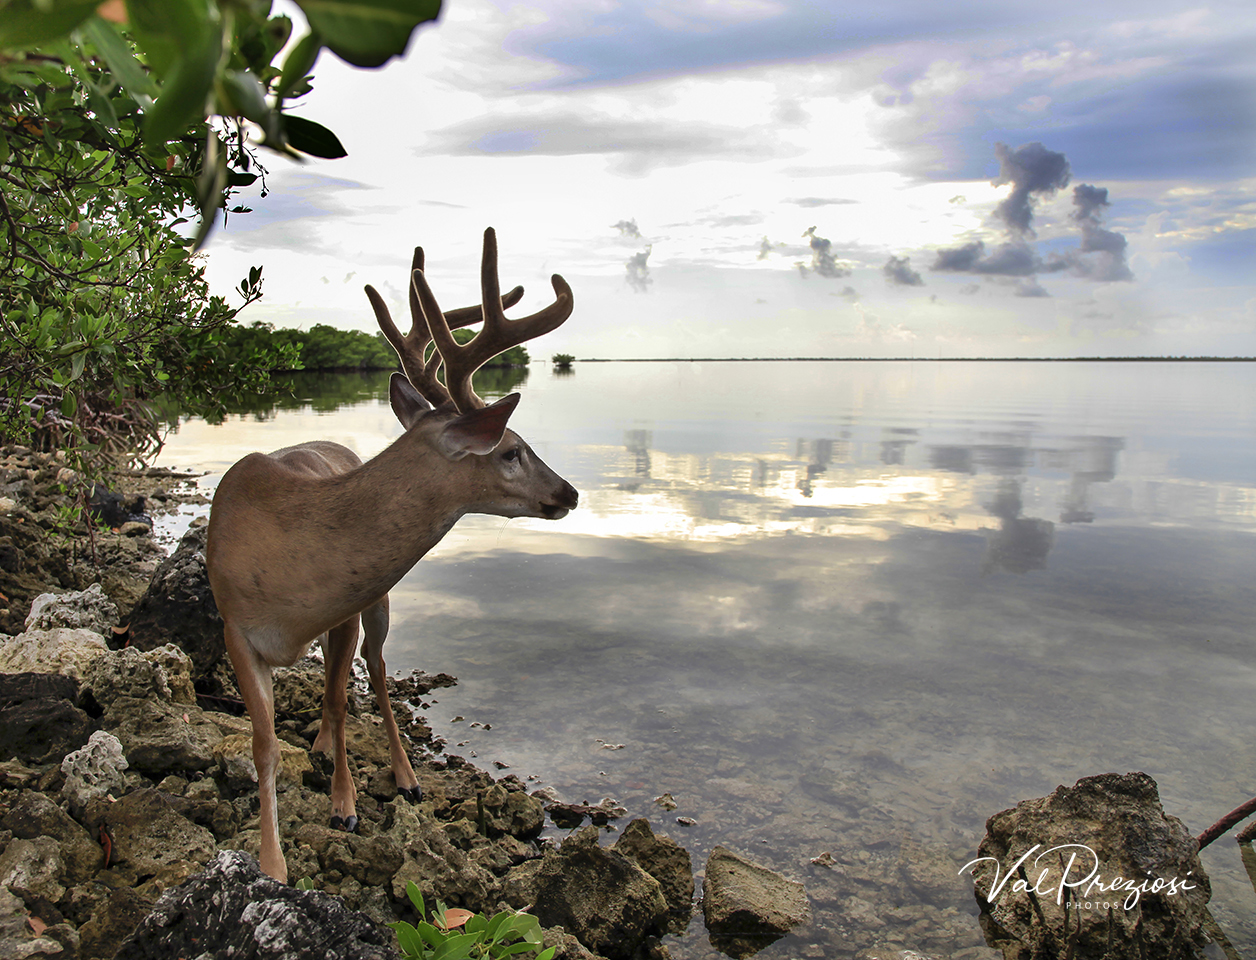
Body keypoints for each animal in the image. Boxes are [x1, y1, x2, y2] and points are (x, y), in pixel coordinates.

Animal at [205, 228, 578, 883]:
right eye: (512, 450)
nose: (569, 492)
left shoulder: (345, 606)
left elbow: (340, 695)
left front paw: (345, 805)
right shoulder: (235, 628)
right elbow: (264, 744)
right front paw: (272, 863)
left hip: (377, 599)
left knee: (374, 673)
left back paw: (402, 776)